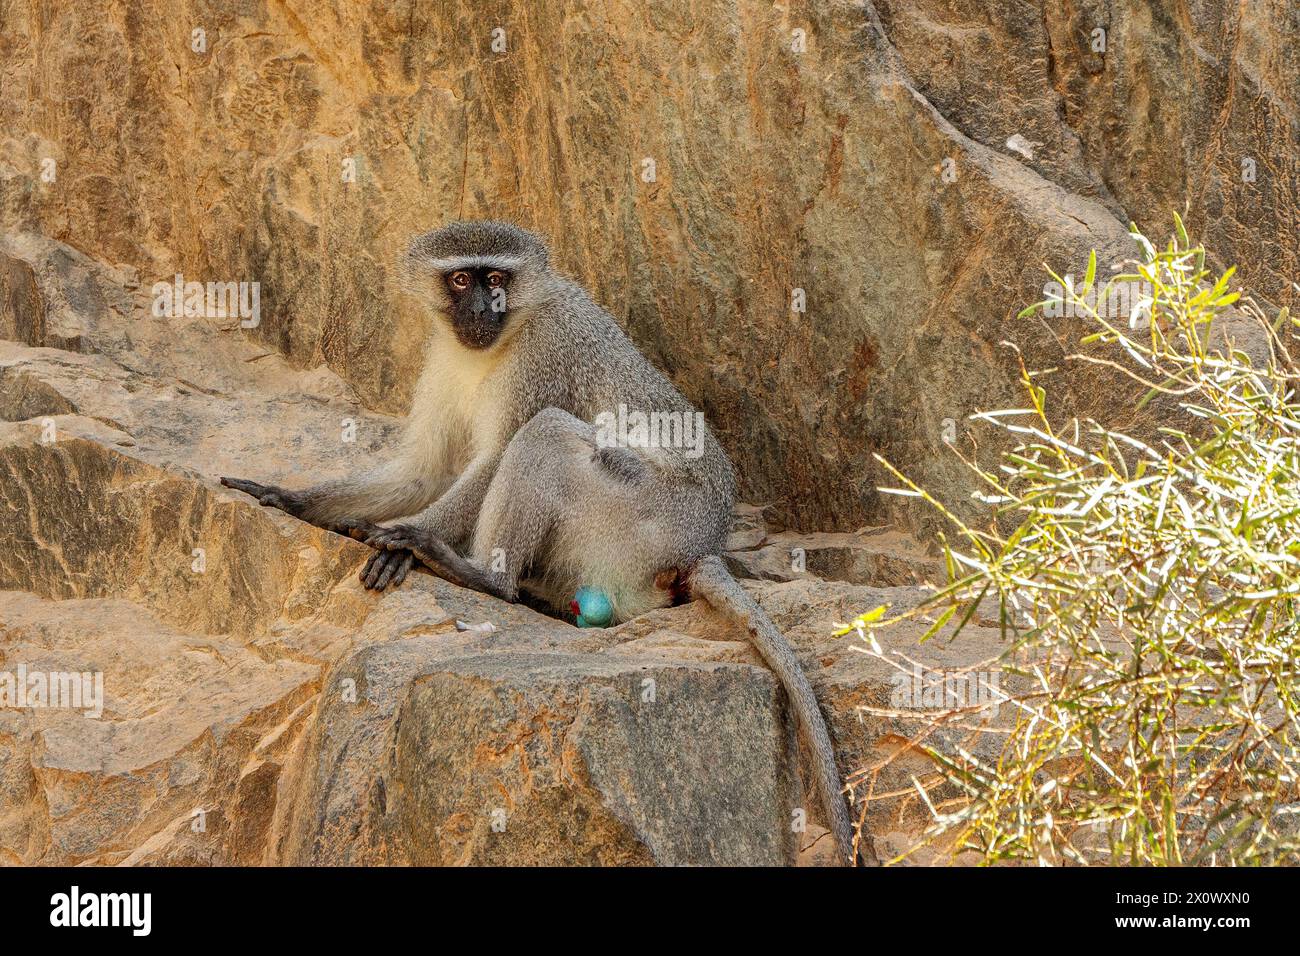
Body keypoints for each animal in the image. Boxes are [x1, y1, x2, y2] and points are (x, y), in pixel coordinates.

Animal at [221, 221, 859, 865]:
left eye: (496, 278)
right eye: (462, 279)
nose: (484, 307)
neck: (497, 342)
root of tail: (698, 543)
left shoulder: (545, 353)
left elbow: (496, 454)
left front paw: (405, 539)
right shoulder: (443, 357)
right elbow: (423, 471)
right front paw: (291, 499)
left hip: (638, 516)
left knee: (547, 432)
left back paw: (481, 574)